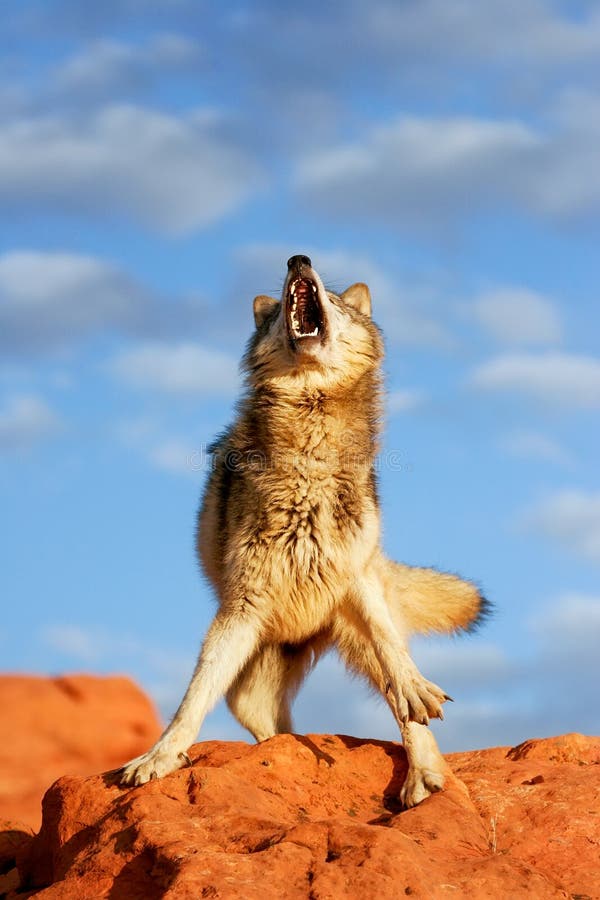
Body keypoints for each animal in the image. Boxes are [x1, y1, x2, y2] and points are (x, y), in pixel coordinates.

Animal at [120, 255, 487, 807]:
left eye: (333, 299)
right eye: (276, 312)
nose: (298, 259)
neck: (308, 460)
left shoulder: (356, 576)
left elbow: (396, 660)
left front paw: (415, 698)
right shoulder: (241, 605)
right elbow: (192, 699)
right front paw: (158, 757)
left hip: (356, 630)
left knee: (404, 703)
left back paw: (423, 774)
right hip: (251, 684)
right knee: (278, 726)